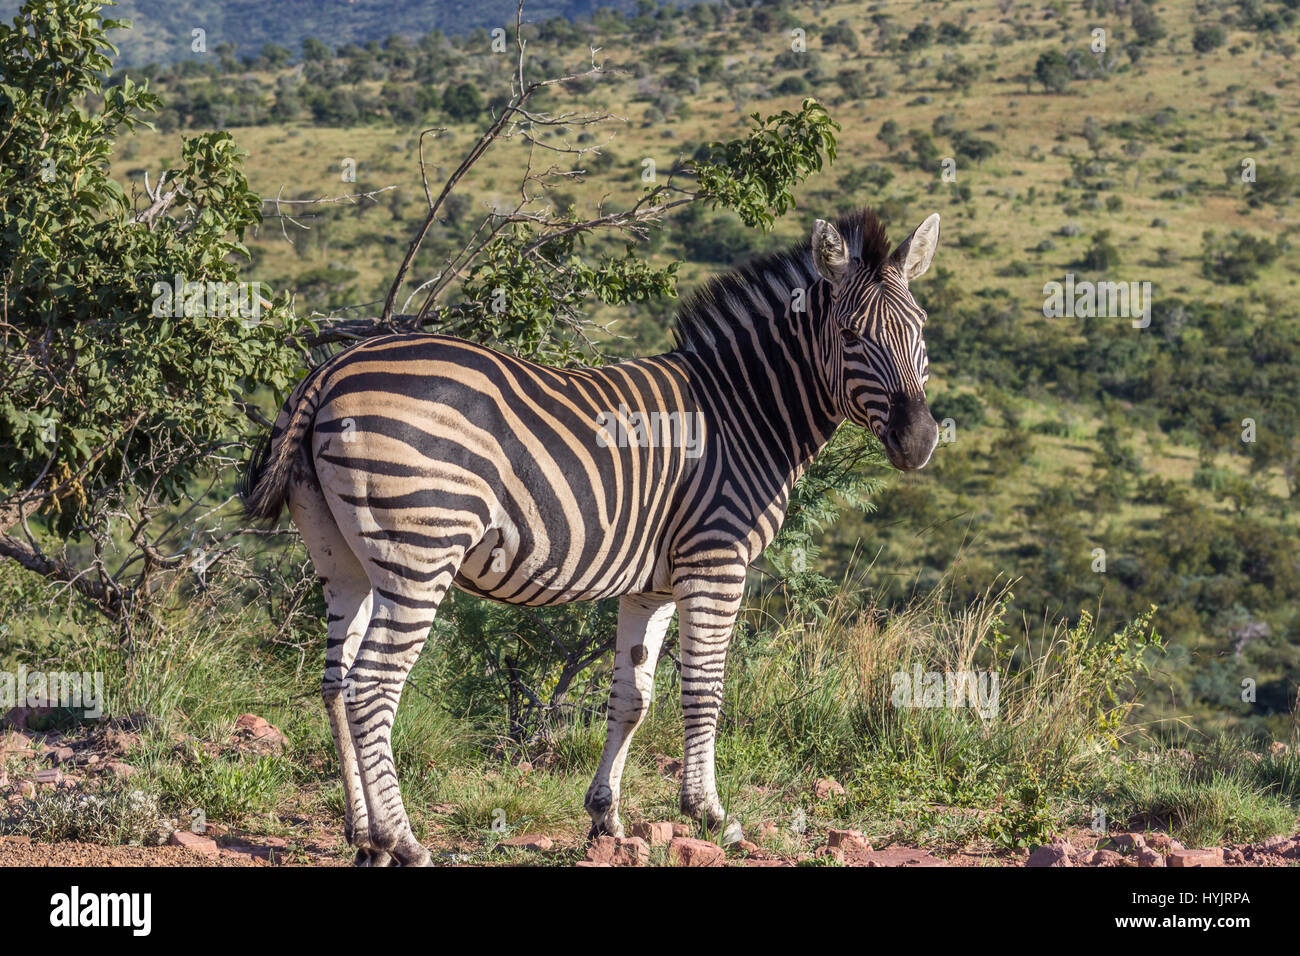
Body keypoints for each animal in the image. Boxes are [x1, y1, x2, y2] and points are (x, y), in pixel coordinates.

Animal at [241, 208, 942, 866]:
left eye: (920, 330)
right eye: (851, 336)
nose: (919, 442)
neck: (743, 412)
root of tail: (330, 371)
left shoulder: (653, 582)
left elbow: (633, 695)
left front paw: (606, 816)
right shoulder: (715, 557)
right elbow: (705, 687)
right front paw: (710, 813)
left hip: (345, 561)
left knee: (336, 684)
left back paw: (365, 838)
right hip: (421, 549)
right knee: (371, 688)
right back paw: (404, 841)